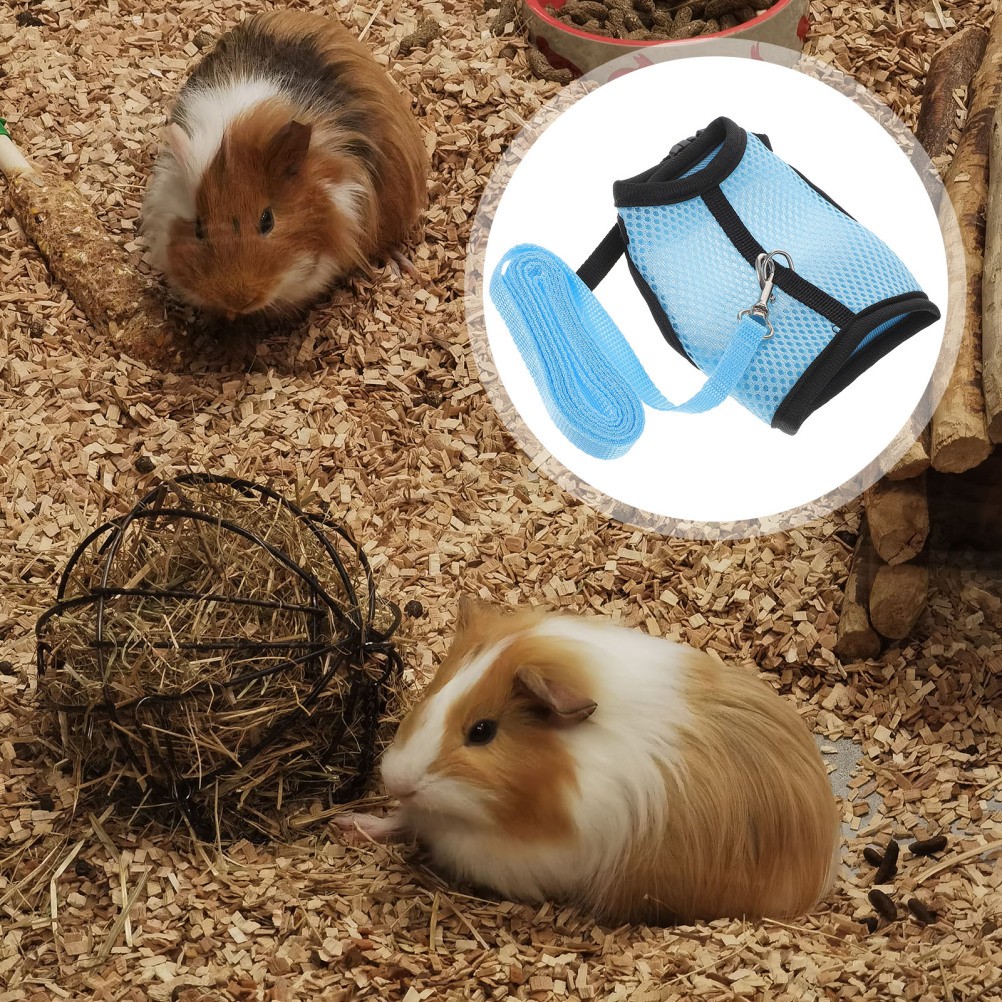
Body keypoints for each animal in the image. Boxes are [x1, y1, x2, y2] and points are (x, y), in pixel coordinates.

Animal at [335, 597, 841, 926]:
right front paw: (351, 825)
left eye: (482, 731)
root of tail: (820, 875)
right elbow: (403, 819)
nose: (396, 779)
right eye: (432, 691)